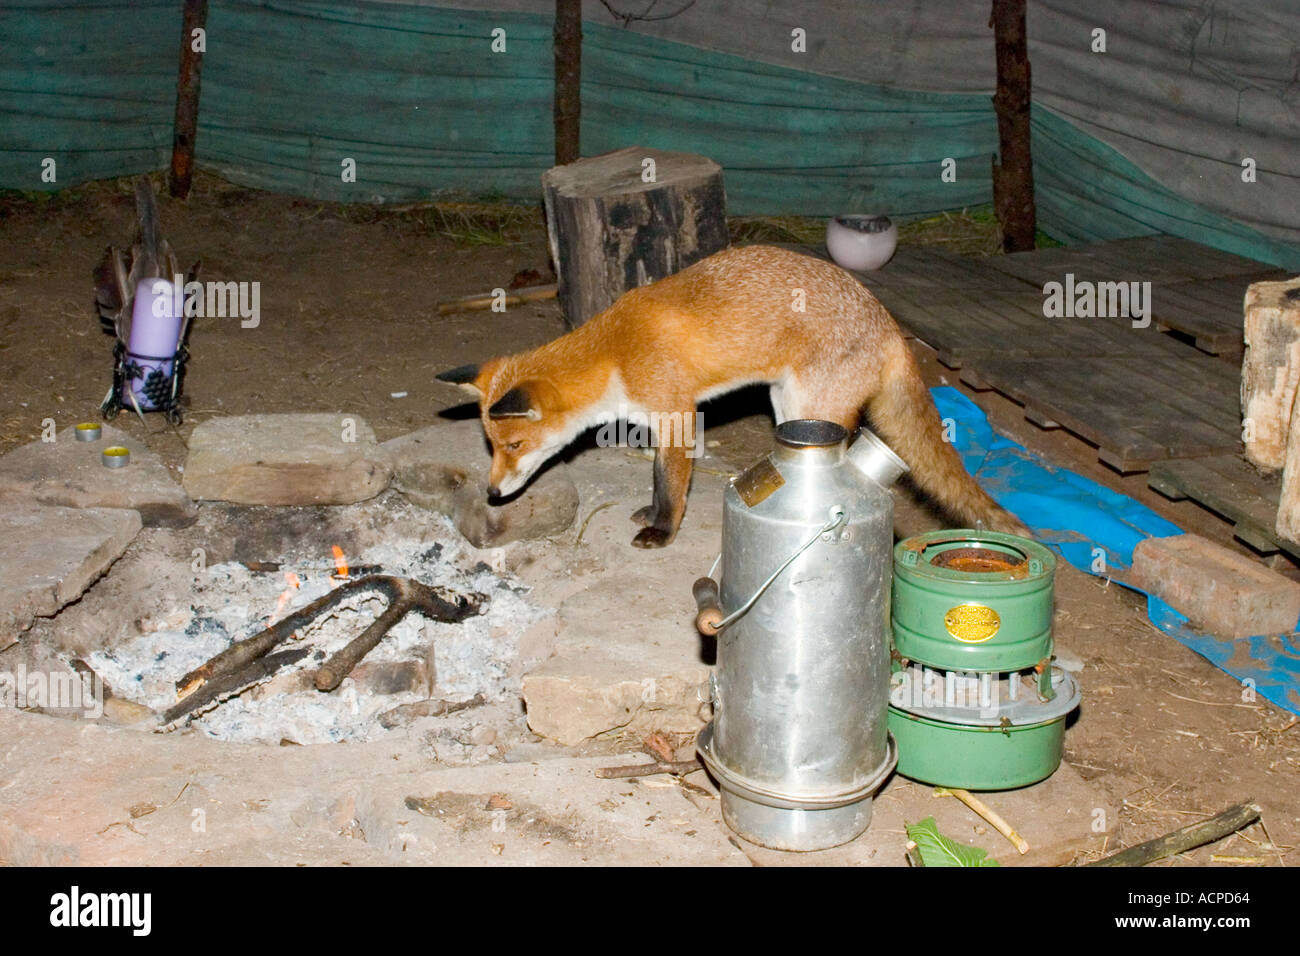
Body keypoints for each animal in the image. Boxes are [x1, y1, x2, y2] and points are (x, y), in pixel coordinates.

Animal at [437, 244, 1030, 548]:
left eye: (513, 446)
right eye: (491, 447)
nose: (492, 492)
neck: (615, 356)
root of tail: (887, 321)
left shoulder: (677, 414)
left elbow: (670, 484)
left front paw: (662, 530)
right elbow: (658, 481)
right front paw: (650, 515)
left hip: (815, 410)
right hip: (786, 407)